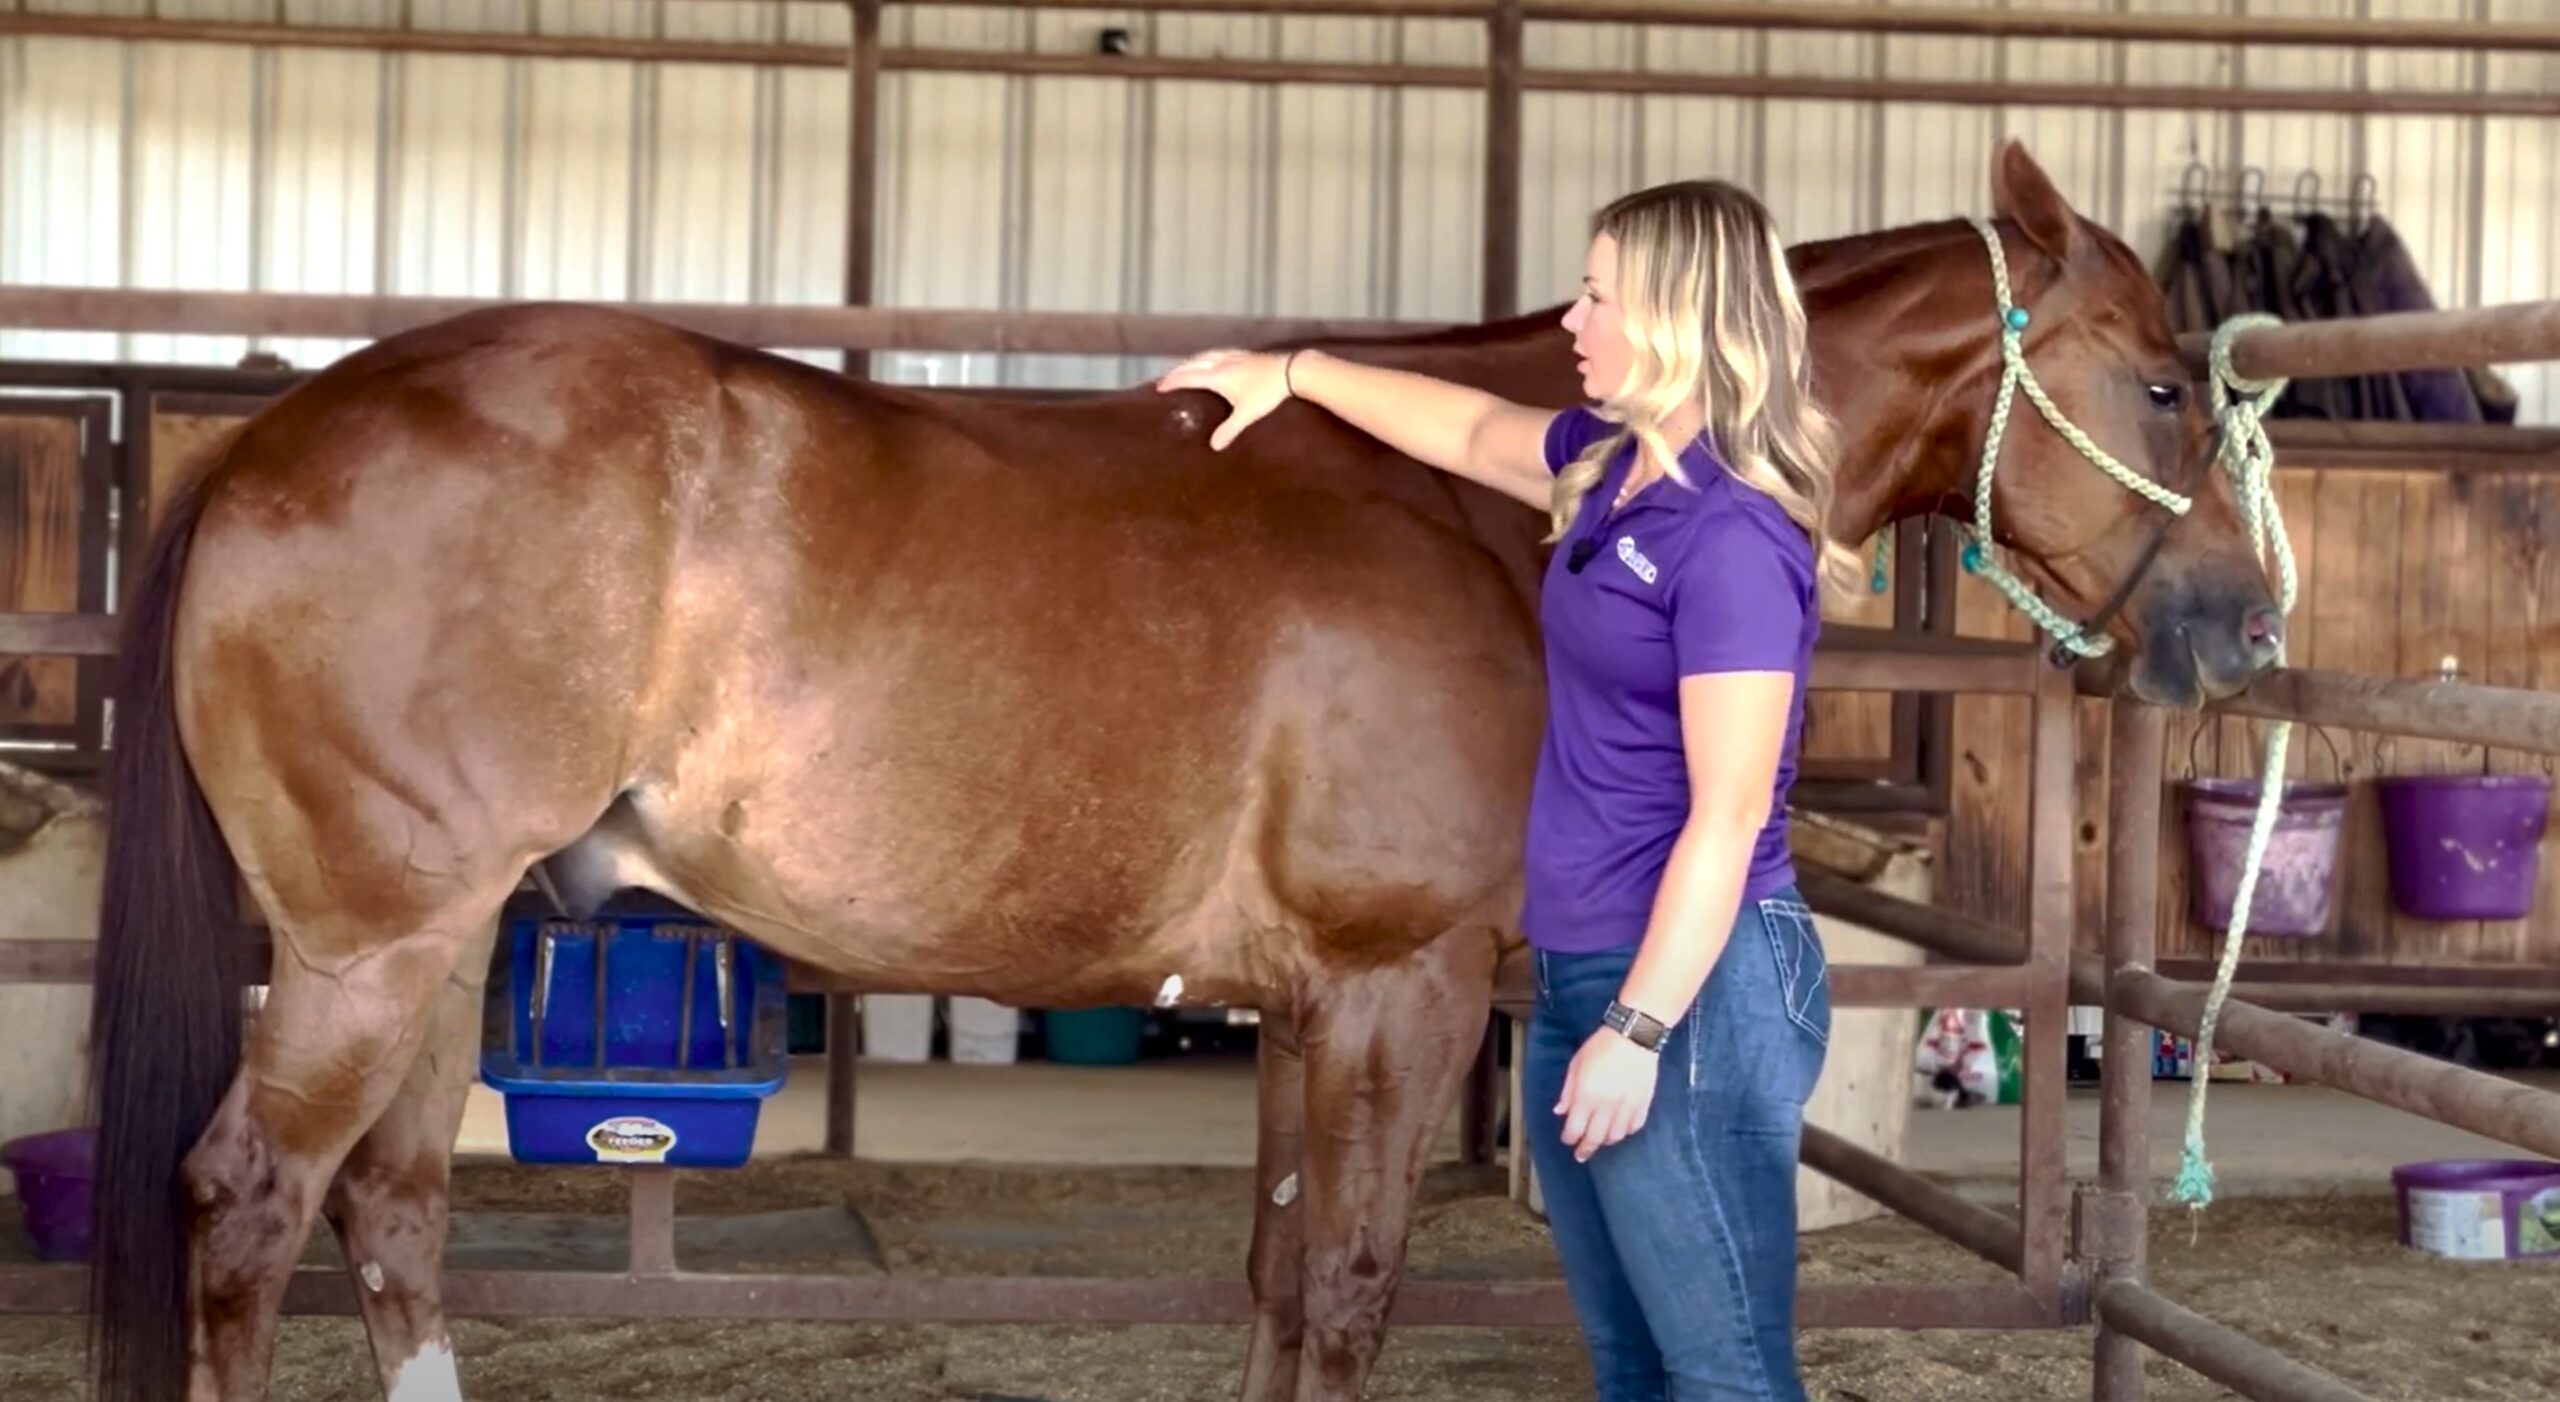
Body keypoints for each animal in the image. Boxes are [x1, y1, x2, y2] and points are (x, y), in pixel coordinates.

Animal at [83, 139, 2283, 1402]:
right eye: (2163, 381)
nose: (2244, 630)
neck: (1476, 508)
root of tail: (284, 434)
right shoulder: (1395, 988)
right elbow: (1352, 1288)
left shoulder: (1308, 1008)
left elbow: (1277, 1275)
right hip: (367, 951)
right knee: (249, 1206)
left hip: (438, 942)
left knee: (388, 1214)